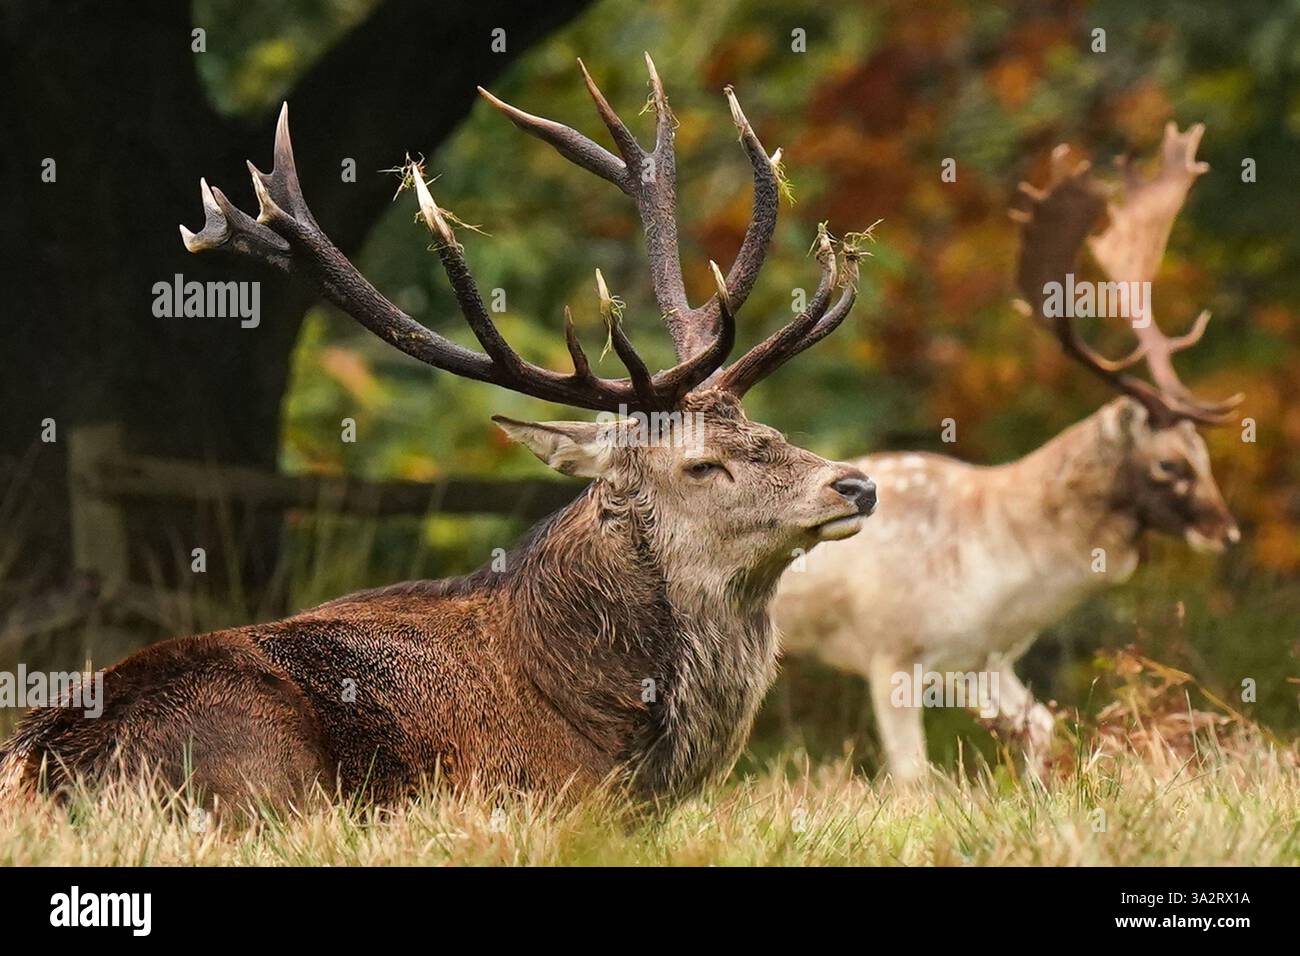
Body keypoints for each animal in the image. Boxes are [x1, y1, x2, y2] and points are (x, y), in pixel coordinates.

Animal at [0, 58, 878, 811]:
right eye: (700, 465)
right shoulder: (540, 797)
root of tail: (47, 768)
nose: (857, 483)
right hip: (258, 759)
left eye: (769, 428)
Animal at [773, 123, 1242, 783]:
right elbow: (912, 779)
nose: (1226, 532)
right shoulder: (890, 648)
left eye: (1204, 453)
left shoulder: (982, 662)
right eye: (1169, 464)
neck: (1000, 574)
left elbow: (1044, 732)